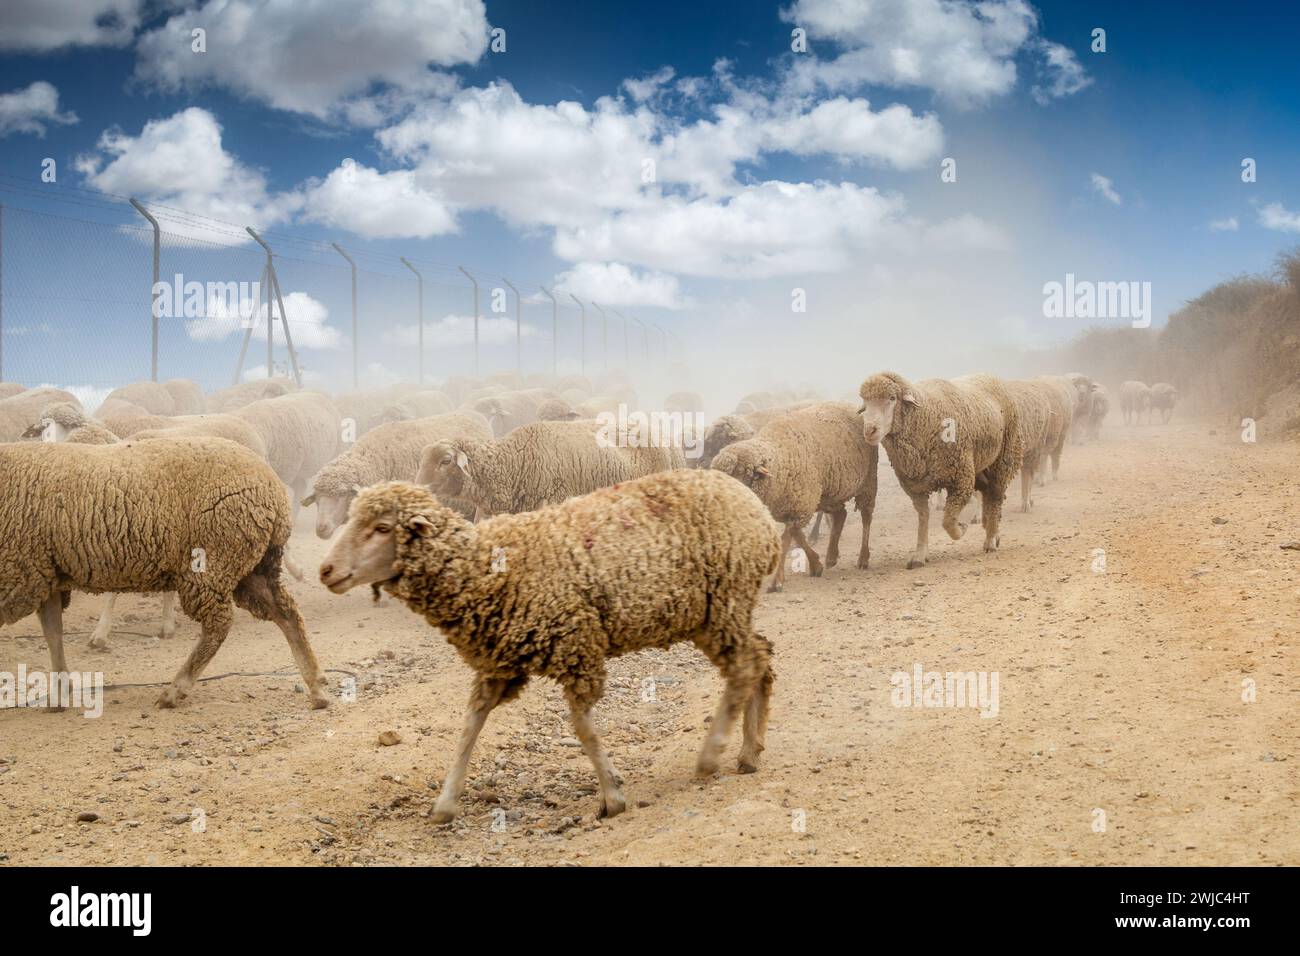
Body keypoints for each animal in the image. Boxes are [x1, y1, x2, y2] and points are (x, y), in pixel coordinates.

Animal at [0, 437, 329, 710]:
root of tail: (274, 488)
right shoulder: (43, 573)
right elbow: (53, 632)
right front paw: (59, 693)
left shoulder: (20, 576)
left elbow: (49, 632)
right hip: (251, 566)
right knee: (286, 613)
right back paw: (317, 687)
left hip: (212, 562)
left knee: (219, 624)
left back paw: (175, 689)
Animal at [318, 469, 779, 821]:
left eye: (381, 528)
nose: (326, 570)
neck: (486, 568)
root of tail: (761, 514)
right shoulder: (499, 663)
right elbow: (470, 726)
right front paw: (445, 803)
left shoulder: (577, 645)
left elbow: (582, 728)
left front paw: (612, 797)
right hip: (712, 614)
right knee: (760, 658)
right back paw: (749, 752)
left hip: (726, 600)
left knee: (745, 666)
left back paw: (711, 755)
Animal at [710, 401, 876, 591]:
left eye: (739, 474)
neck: (779, 460)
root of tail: (849, 405)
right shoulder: (794, 506)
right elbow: (797, 535)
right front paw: (816, 564)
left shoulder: (801, 504)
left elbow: (786, 539)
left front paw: (777, 581)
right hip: (829, 491)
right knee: (841, 514)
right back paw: (831, 557)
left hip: (868, 481)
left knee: (866, 517)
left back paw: (863, 558)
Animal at [857, 371, 1022, 568]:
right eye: (865, 401)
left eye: (892, 398)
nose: (869, 431)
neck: (926, 416)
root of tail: (990, 376)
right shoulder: (915, 486)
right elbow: (923, 517)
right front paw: (920, 555)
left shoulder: (962, 479)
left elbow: (948, 521)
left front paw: (961, 528)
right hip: (981, 468)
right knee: (989, 496)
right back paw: (993, 533)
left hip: (1003, 458)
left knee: (996, 496)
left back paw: (990, 540)